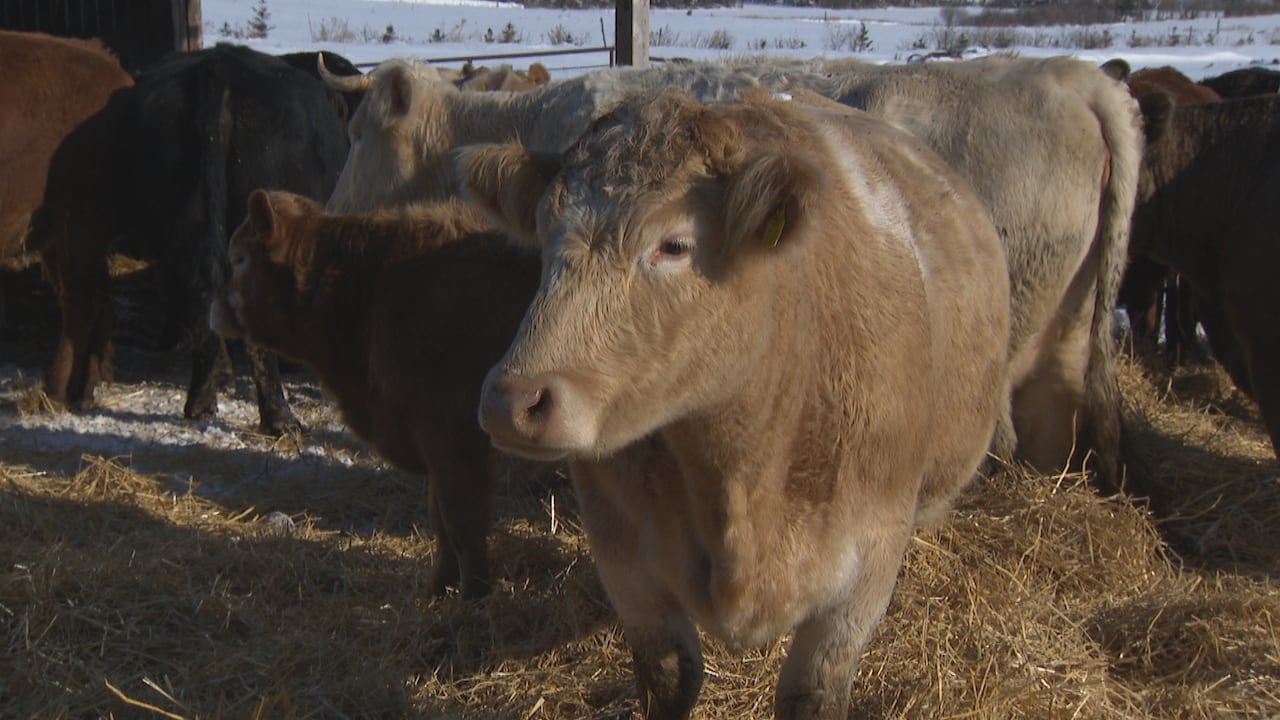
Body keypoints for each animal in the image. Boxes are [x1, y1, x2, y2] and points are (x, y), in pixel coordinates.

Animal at [210, 190, 540, 598]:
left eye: (239, 258)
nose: (213, 307)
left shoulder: (449, 437)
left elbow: (462, 524)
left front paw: (473, 597)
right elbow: (442, 522)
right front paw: (437, 591)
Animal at [458, 87, 1012, 720]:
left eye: (675, 245)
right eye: (545, 239)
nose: (511, 401)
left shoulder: (861, 576)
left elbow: (810, 694)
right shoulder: (627, 562)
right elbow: (669, 679)